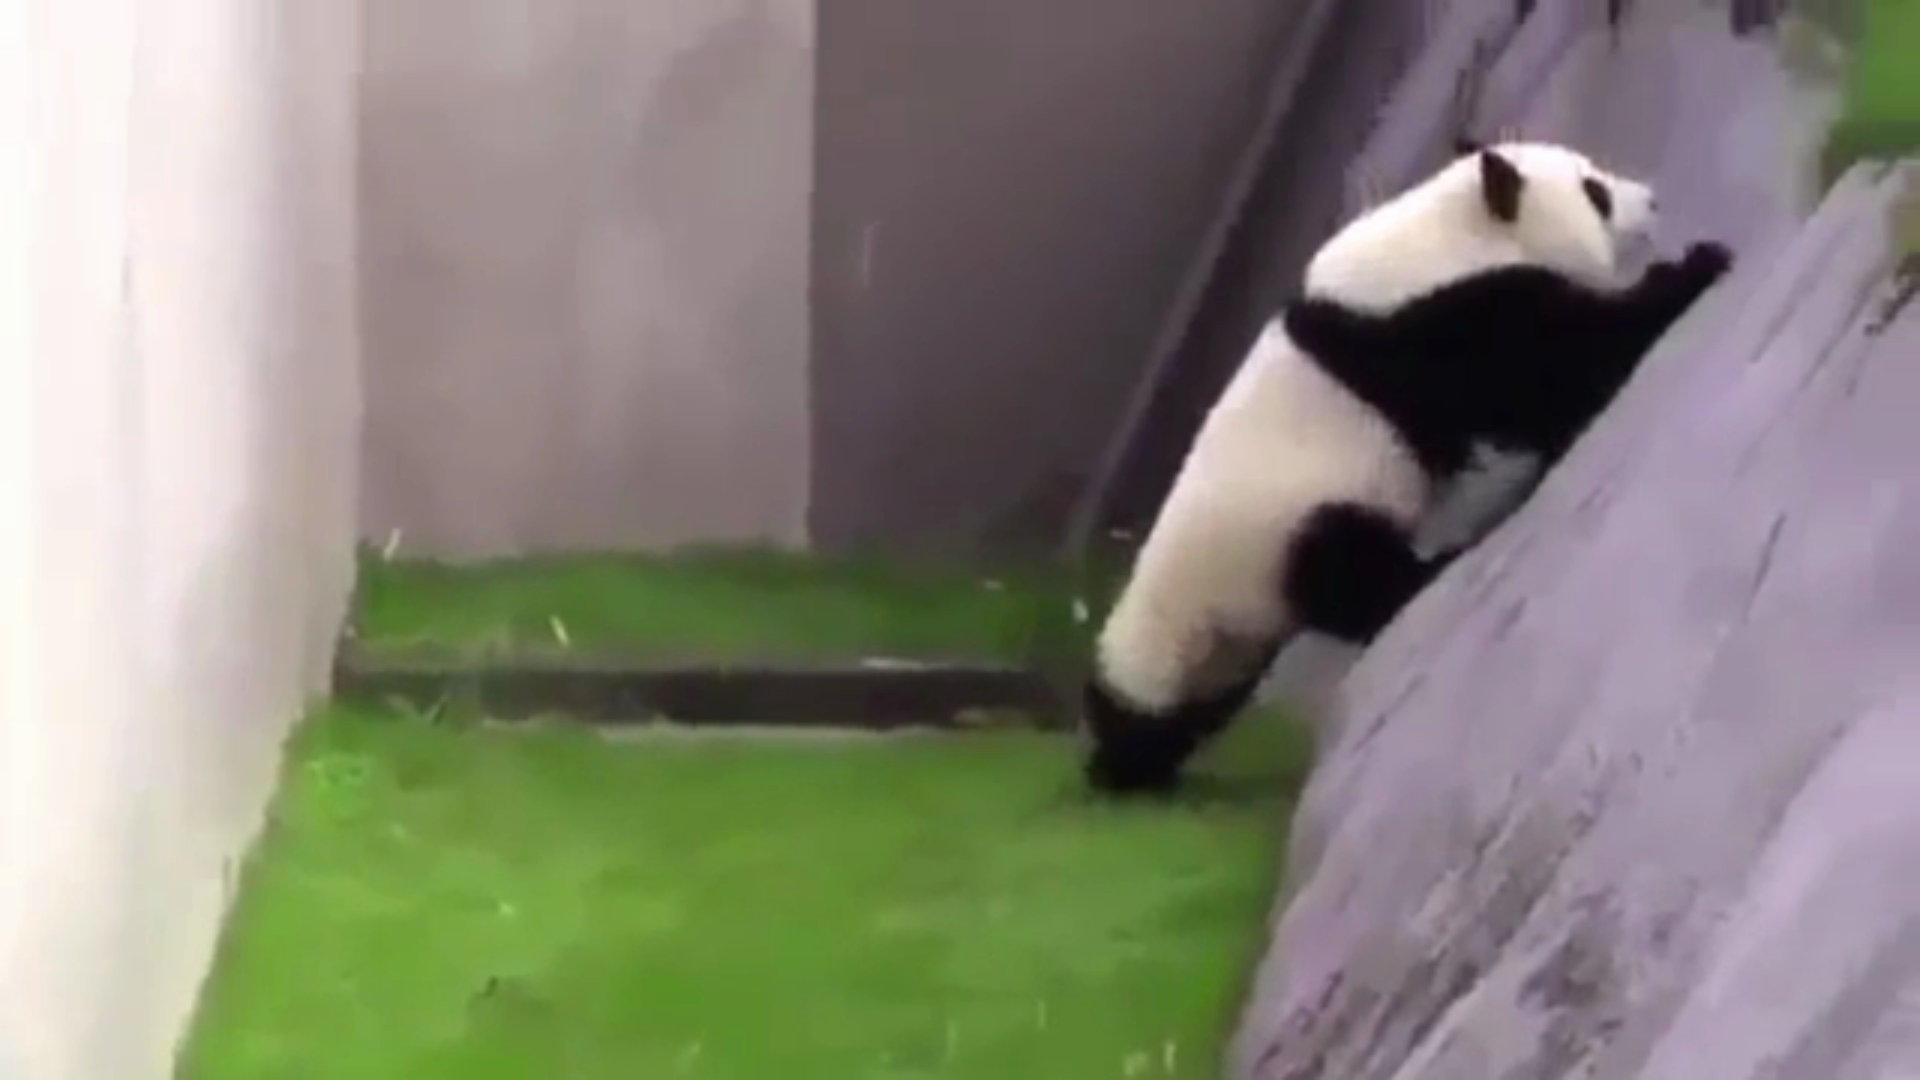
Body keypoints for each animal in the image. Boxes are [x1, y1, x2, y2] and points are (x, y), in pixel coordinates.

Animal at [1082, 138, 1734, 796]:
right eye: (1594, 193)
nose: (1651, 201)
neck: (1448, 233)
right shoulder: (1439, 323)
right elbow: (1555, 367)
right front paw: (1696, 267)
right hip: (1275, 537)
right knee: (1347, 565)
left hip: (1222, 637)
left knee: (1181, 706)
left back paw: (1134, 765)